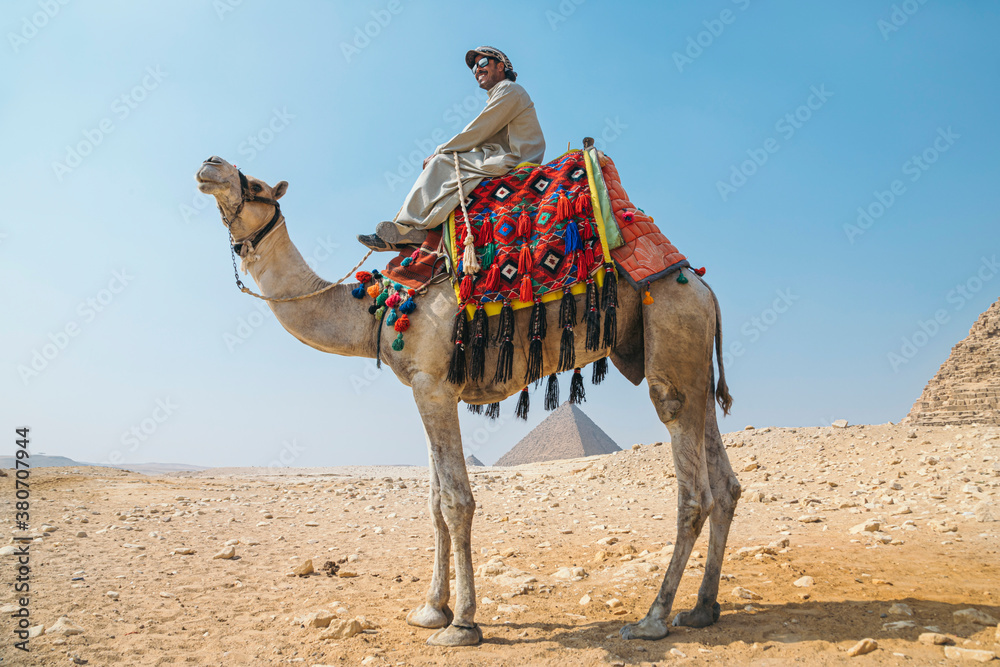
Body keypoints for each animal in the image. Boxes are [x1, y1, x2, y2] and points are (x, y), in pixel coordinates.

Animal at [195, 155, 741, 646]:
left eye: (257, 184)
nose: (210, 165)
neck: (376, 311)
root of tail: (708, 290)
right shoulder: (427, 388)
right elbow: (434, 502)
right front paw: (430, 609)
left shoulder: (434, 385)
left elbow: (456, 502)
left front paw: (461, 624)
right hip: (691, 360)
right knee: (726, 483)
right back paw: (702, 608)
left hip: (670, 336)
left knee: (693, 487)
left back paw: (653, 619)